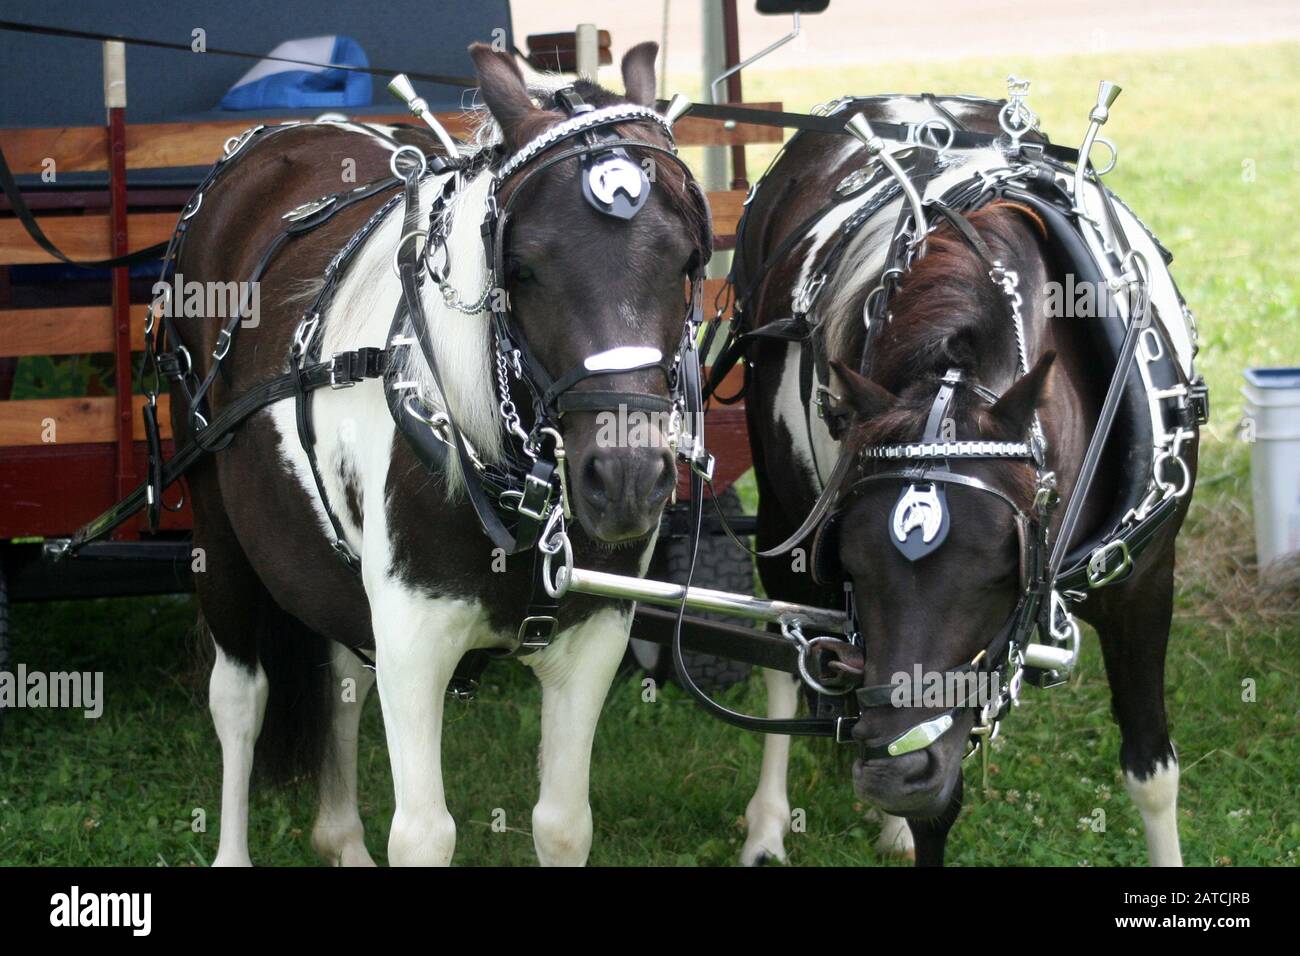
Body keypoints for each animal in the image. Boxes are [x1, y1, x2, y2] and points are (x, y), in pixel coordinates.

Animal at [162, 42, 711, 866]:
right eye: (524, 268)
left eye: (685, 262)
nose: (626, 479)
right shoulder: (413, 640)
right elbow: (423, 833)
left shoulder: (594, 639)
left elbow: (562, 823)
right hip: (216, 527)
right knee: (238, 698)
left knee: (341, 678)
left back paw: (340, 838)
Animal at [728, 93, 1200, 866]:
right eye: (849, 559)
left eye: (1001, 569)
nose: (890, 774)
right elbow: (936, 809)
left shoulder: (1146, 580)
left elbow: (1152, 770)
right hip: (780, 519)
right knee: (781, 654)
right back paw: (769, 822)